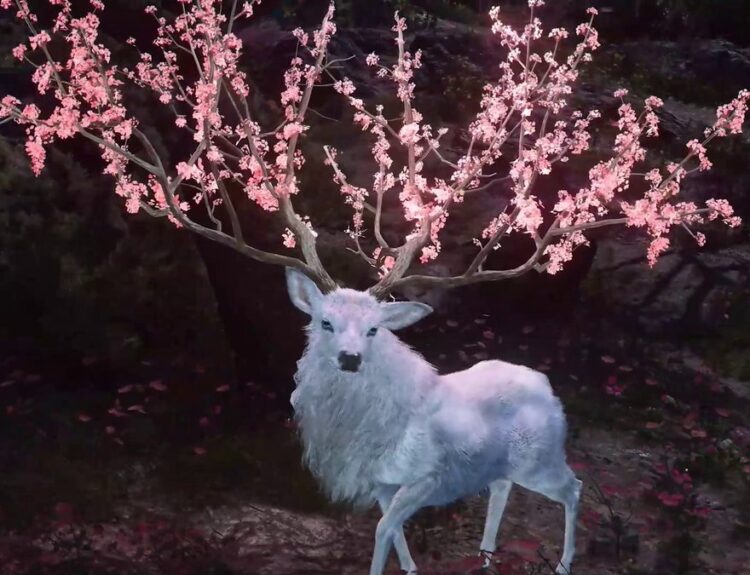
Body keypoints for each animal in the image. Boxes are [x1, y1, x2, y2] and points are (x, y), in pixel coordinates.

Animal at [286, 267, 581, 575]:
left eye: (373, 329)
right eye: (325, 322)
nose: (350, 358)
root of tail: (546, 385)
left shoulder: (428, 476)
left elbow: (383, 529)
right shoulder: (382, 483)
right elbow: (394, 529)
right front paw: (410, 568)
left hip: (539, 460)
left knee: (574, 488)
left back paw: (562, 566)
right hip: (500, 465)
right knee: (502, 487)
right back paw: (484, 558)